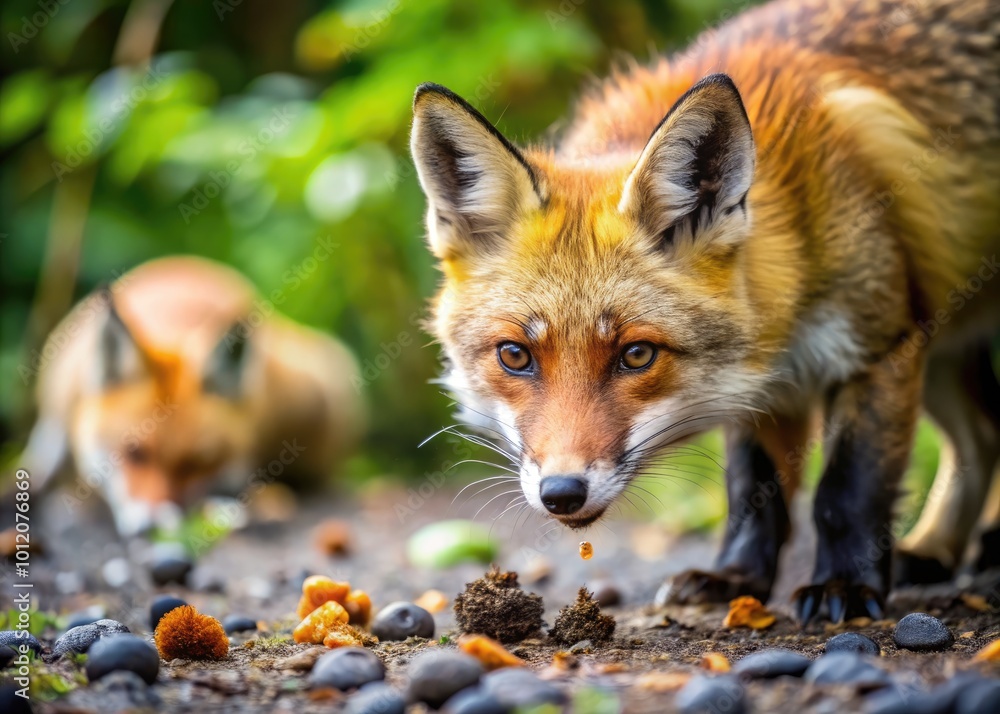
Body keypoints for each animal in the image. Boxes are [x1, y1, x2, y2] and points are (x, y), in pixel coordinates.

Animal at [410, 0, 1000, 622]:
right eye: (515, 355)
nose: (562, 493)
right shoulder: (758, 383)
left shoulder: (881, 344)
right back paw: (936, 551)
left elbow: (845, 491)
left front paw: (843, 586)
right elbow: (753, 492)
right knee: (982, 436)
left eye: (636, 355)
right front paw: (737, 578)